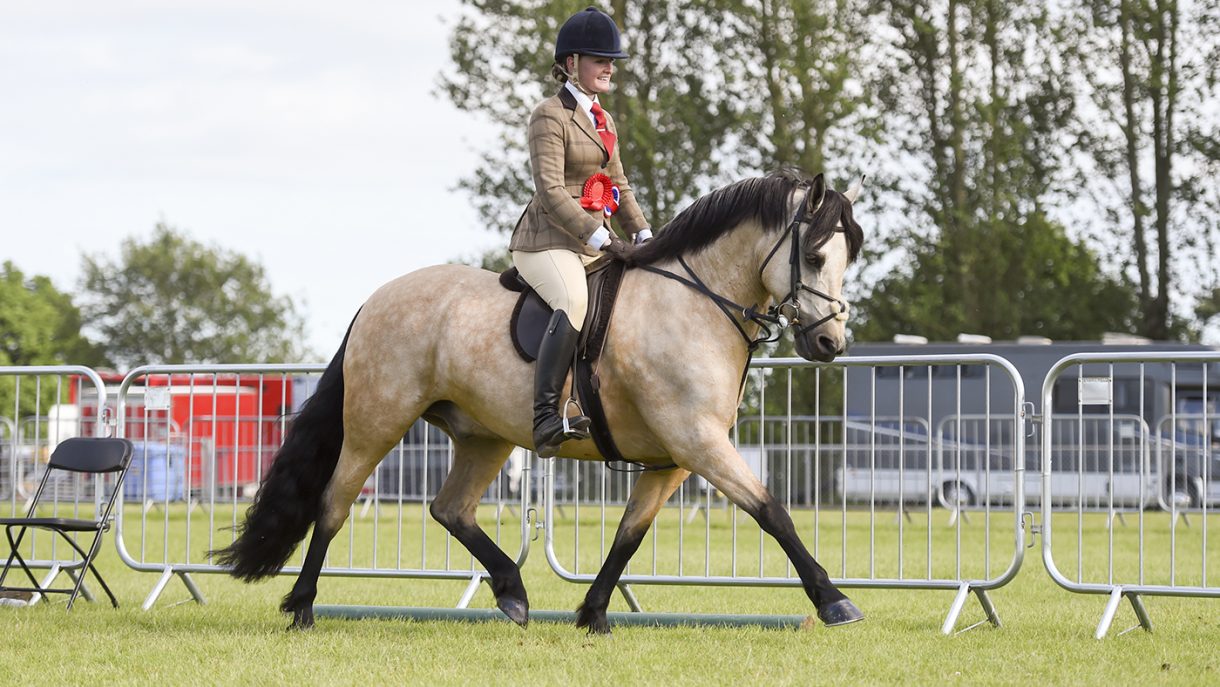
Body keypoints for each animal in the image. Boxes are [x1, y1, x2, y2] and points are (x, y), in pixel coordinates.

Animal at [215, 169, 867, 633]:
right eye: (813, 257)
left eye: (848, 258)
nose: (830, 345)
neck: (696, 302)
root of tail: (376, 298)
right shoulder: (698, 443)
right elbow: (772, 511)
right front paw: (834, 602)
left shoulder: (672, 460)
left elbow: (630, 535)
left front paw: (593, 613)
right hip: (378, 421)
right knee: (334, 503)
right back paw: (302, 607)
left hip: (484, 436)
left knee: (450, 509)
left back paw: (512, 591)